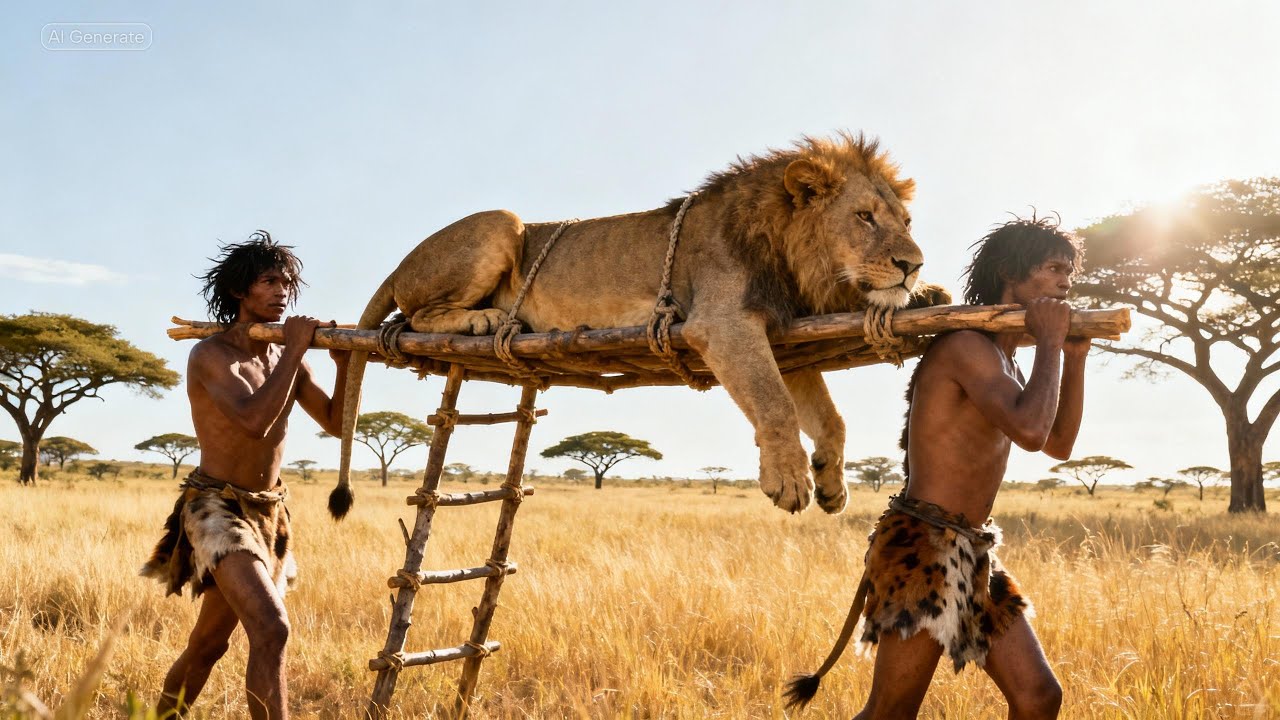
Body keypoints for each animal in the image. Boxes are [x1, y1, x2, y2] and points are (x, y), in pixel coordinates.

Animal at [328, 133, 949, 519]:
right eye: (864, 217)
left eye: (906, 220)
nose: (913, 265)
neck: (797, 260)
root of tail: (401, 263)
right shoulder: (723, 321)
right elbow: (773, 405)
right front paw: (790, 481)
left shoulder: (784, 335)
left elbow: (830, 419)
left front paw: (832, 483)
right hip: (501, 222)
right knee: (415, 314)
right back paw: (486, 317)